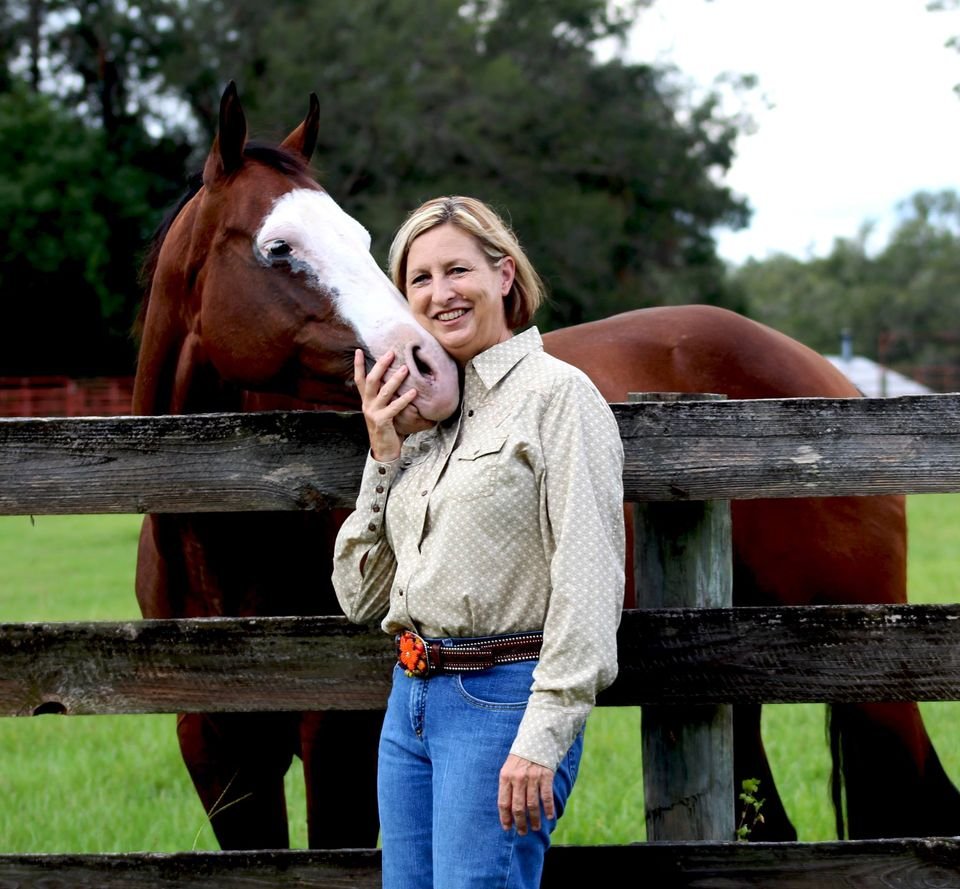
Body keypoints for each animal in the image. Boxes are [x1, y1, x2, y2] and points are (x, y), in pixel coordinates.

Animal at [134, 82, 960, 848]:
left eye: (361, 238)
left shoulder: (336, 739)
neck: (228, 531)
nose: (425, 362)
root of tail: (832, 380)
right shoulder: (219, 751)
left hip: (872, 684)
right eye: (279, 249)